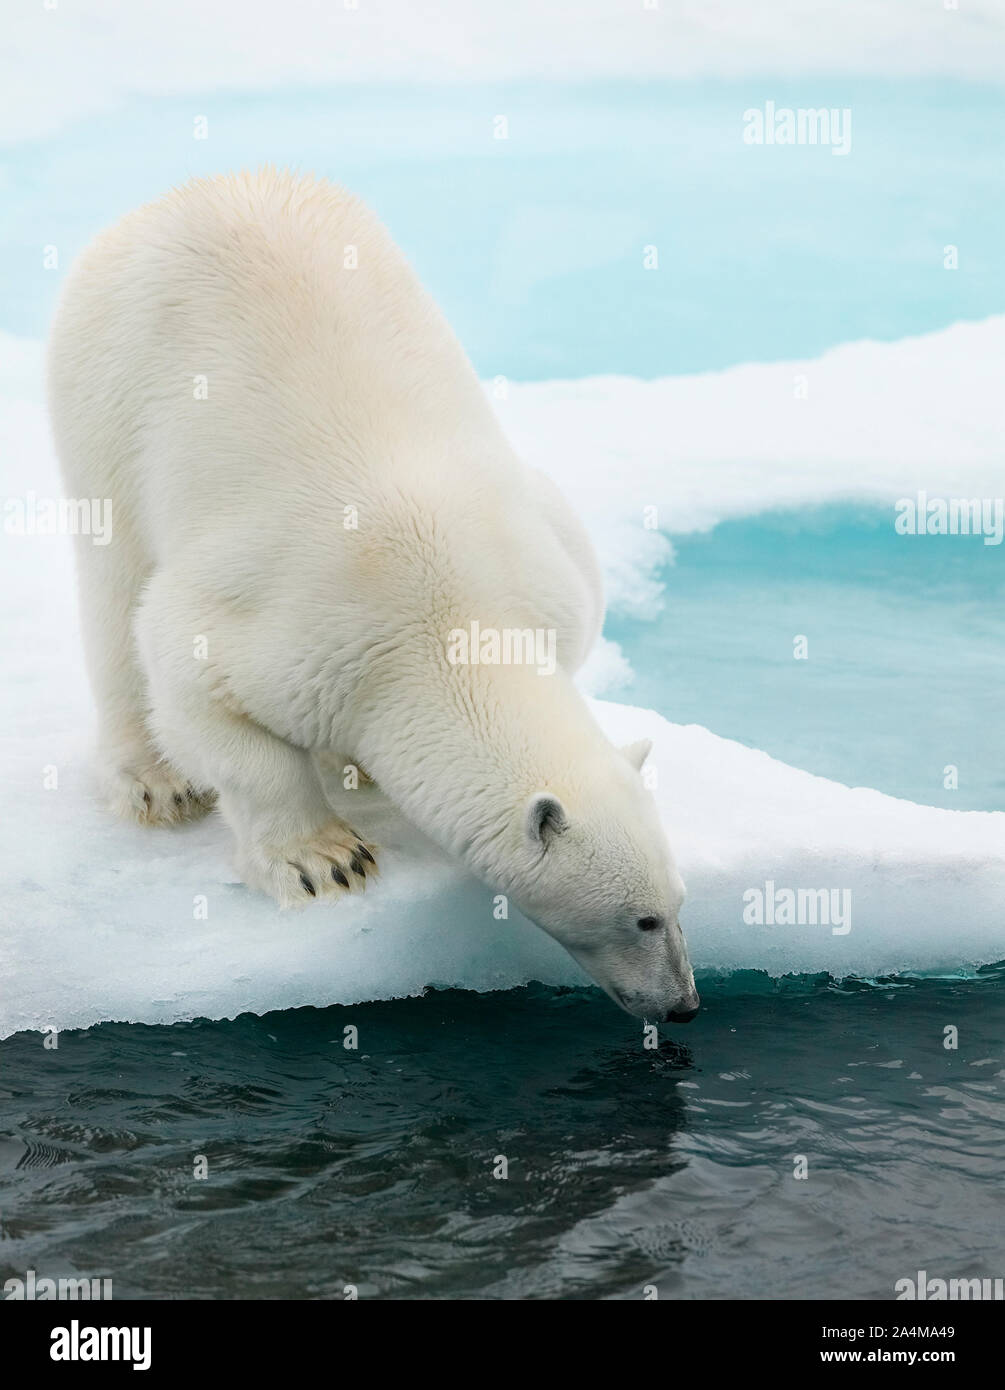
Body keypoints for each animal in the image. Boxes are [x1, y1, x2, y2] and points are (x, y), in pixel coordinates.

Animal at [47, 169, 699, 1023]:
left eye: (682, 902)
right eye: (641, 917)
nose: (684, 1003)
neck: (451, 615)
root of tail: (195, 188)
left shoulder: (549, 567)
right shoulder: (289, 622)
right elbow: (190, 672)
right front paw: (324, 860)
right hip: (108, 377)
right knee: (113, 574)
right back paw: (155, 782)